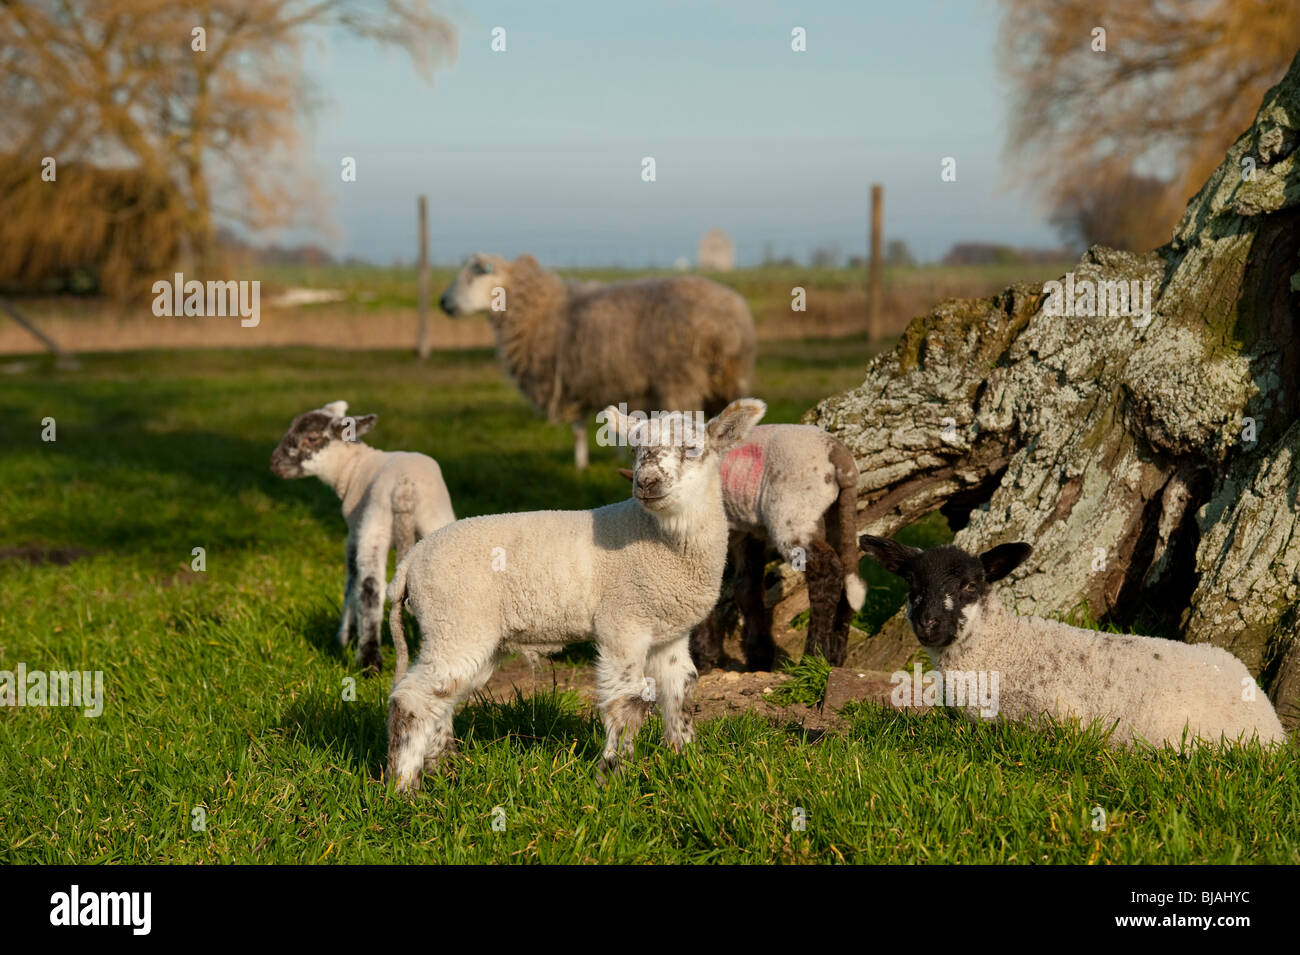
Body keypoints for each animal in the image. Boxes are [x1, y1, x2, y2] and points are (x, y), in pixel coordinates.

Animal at [270, 401, 455, 674]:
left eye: (312, 438)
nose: (274, 462)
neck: (351, 467)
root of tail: (405, 487)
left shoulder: (353, 534)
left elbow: (351, 581)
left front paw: (343, 638)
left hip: (374, 524)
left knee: (370, 587)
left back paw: (368, 661)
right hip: (437, 520)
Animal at [385, 398, 767, 792]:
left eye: (692, 449)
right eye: (634, 449)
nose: (646, 483)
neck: (659, 539)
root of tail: (410, 562)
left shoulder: (669, 631)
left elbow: (682, 689)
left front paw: (687, 758)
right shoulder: (623, 621)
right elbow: (627, 702)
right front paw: (611, 777)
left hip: (462, 629)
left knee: (441, 697)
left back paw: (441, 768)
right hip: (456, 621)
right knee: (412, 699)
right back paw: (404, 787)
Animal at [439, 253, 756, 469]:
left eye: (474, 275)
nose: (442, 302)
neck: (539, 311)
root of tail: (730, 320)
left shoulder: (570, 378)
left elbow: (578, 428)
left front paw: (580, 466)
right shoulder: (587, 381)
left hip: (680, 379)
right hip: (728, 378)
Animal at [619, 424, 865, 670]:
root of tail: (837, 455)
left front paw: (704, 658)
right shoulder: (748, 533)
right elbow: (747, 588)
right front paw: (759, 657)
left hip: (795, 511)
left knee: (826, 570)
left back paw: (812, 658)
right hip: (836, 512)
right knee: (846, 571)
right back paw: (835, 656)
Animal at [857, 536, 1288, 748]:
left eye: (969, 586)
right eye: (912, 585)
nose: (928, 624)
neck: (1002, 648)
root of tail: (1274, 725)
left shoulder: (1057, 718)